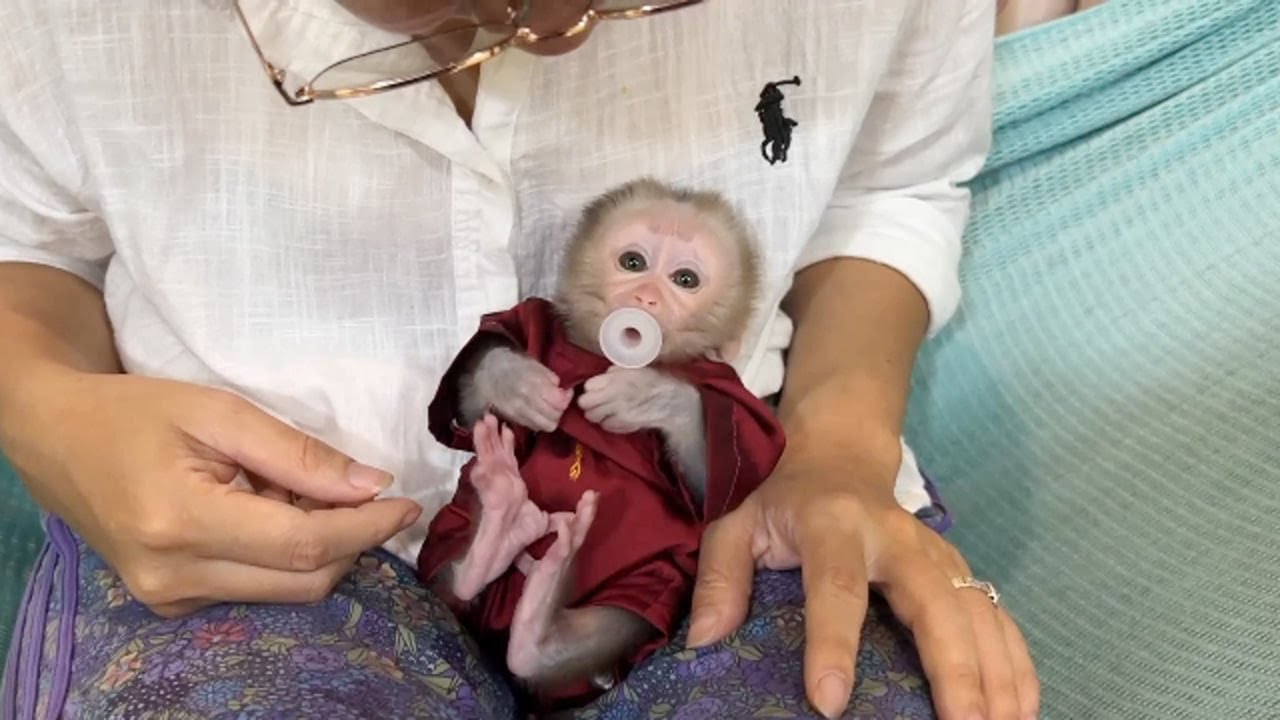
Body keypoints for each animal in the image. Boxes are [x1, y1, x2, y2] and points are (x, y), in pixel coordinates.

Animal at [416, 177, 787, 714]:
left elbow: (718, 477)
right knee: (452, 564)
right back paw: (491, 534)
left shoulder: (729, 390)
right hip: (451, 529)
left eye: (685, 280)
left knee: (622, 613)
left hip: (648, 581)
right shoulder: (534, 319)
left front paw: (645, 394)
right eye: (632, 262)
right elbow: (485, 362)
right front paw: (516, 383)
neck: (598, 358)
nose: (645, 297)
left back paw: (538, 629)